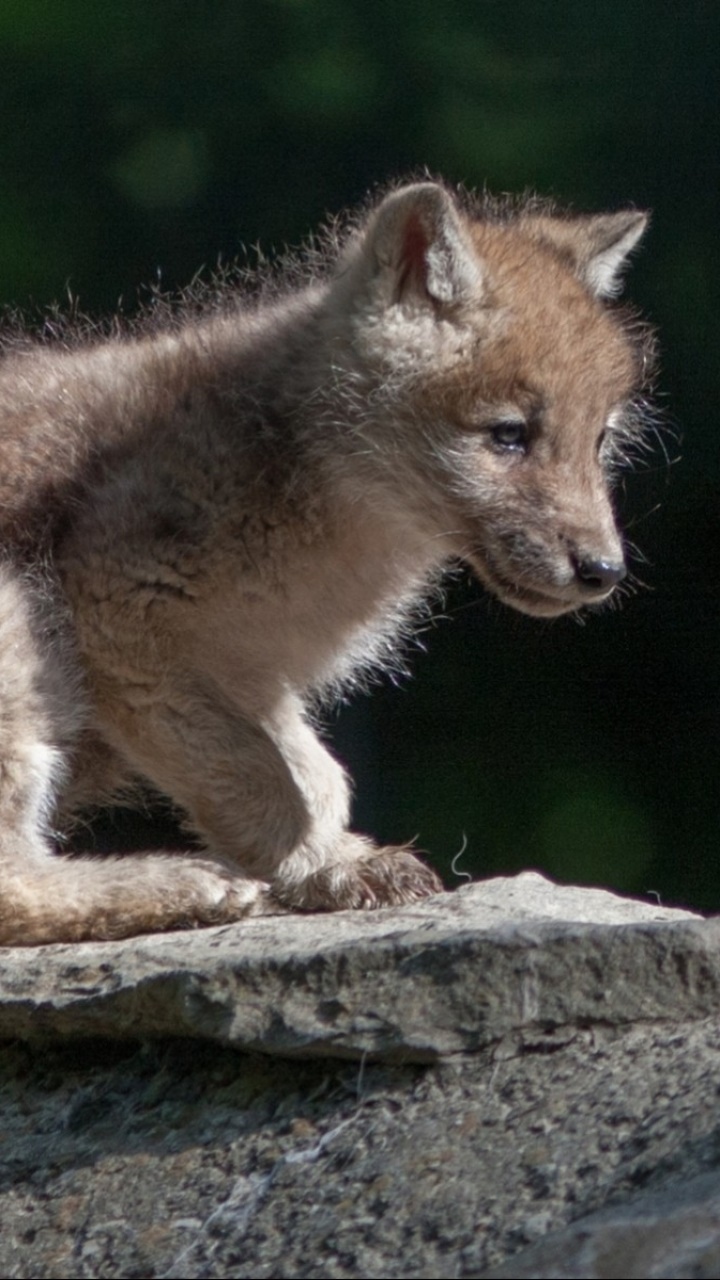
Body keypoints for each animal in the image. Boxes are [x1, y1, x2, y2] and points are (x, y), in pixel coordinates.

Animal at [0, 180, 651, 943]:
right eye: (508, 435)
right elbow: (263, 779)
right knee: (13, 890)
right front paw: (322, 870)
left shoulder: (247, 676)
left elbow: (317, 777)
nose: (604, 571)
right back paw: (186, 884)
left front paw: (335, 857)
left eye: (599, 439)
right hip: (23, 631)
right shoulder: (119, 617)